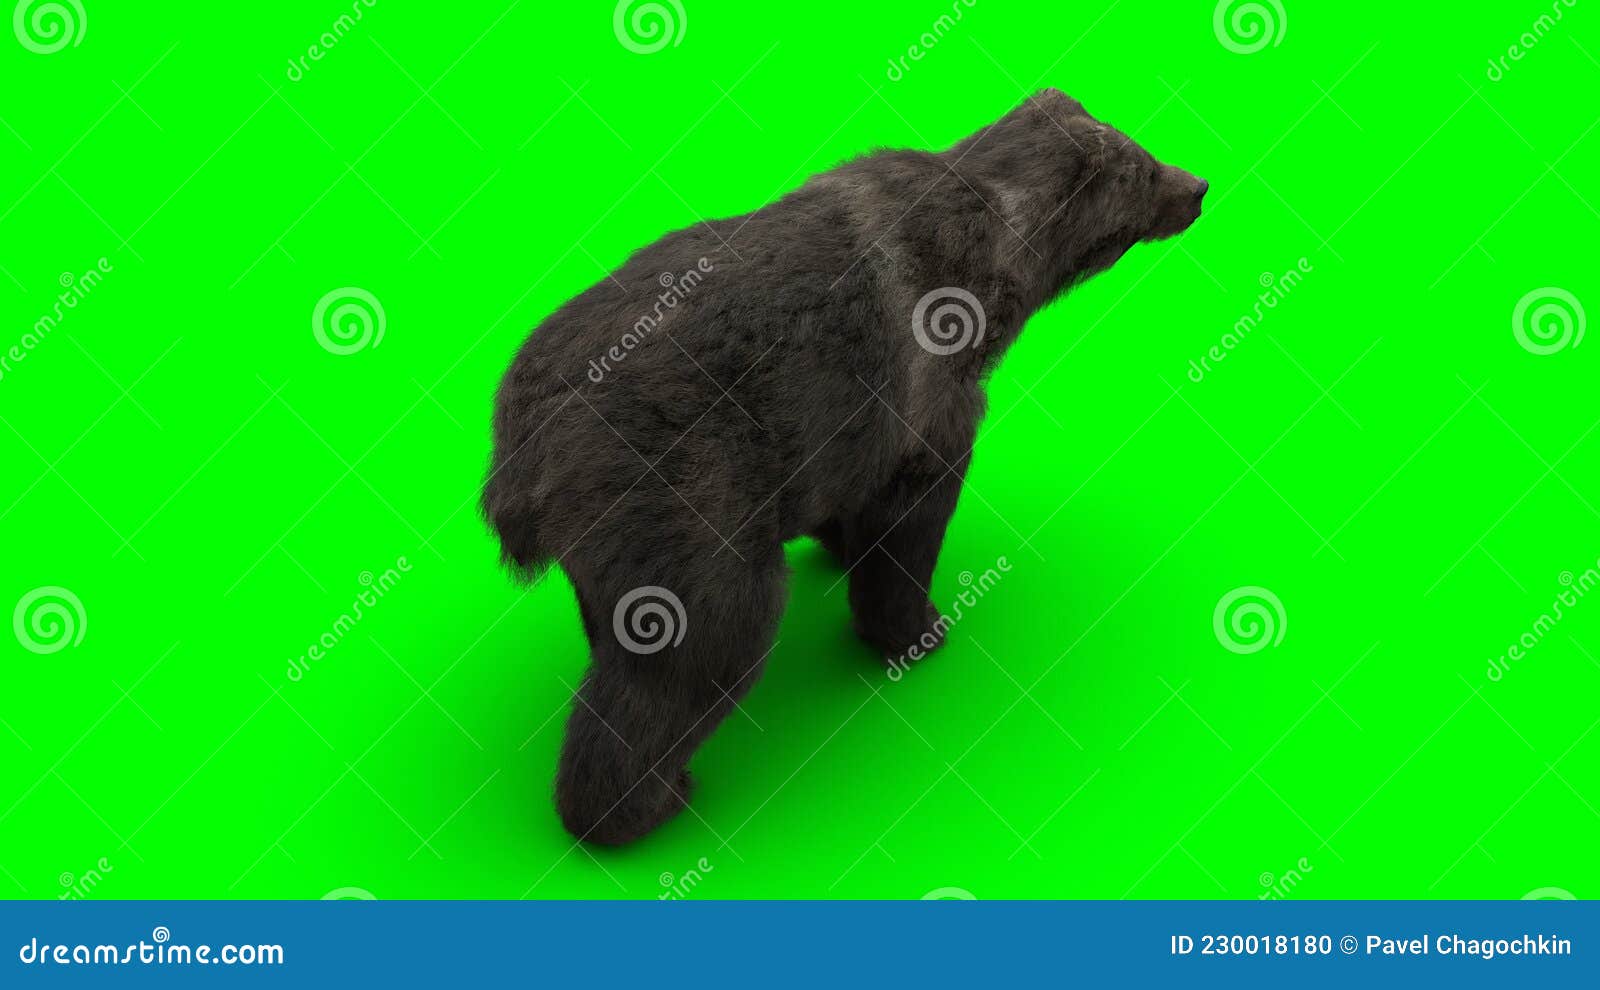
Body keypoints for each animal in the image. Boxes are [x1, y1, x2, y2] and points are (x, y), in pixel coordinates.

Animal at [483, 88, 1207, 846]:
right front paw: (916, 628)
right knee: (702, 642)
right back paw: (644, 804)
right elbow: (908, 525)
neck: (1004, 253)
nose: (1198, 186)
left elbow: (848, 499)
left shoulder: (844, 432)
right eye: (1143, 168)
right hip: (681, 489)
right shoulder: (927, 391)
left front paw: (838, 544)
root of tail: (518, 452)